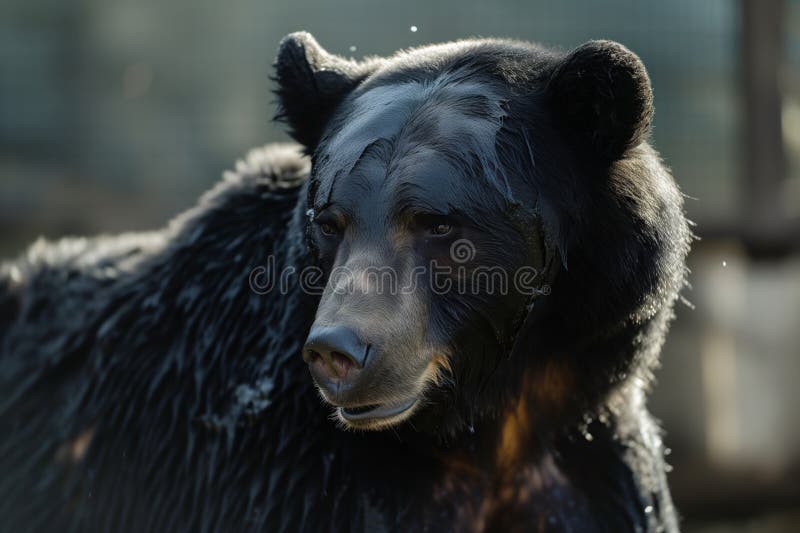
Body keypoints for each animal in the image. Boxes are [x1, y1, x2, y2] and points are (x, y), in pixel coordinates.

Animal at [0, 32, 690, 532]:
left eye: (438, 222)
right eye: (329, 220)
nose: (339, 350)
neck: (488, 426)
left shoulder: (592, 473)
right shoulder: (285, 476)